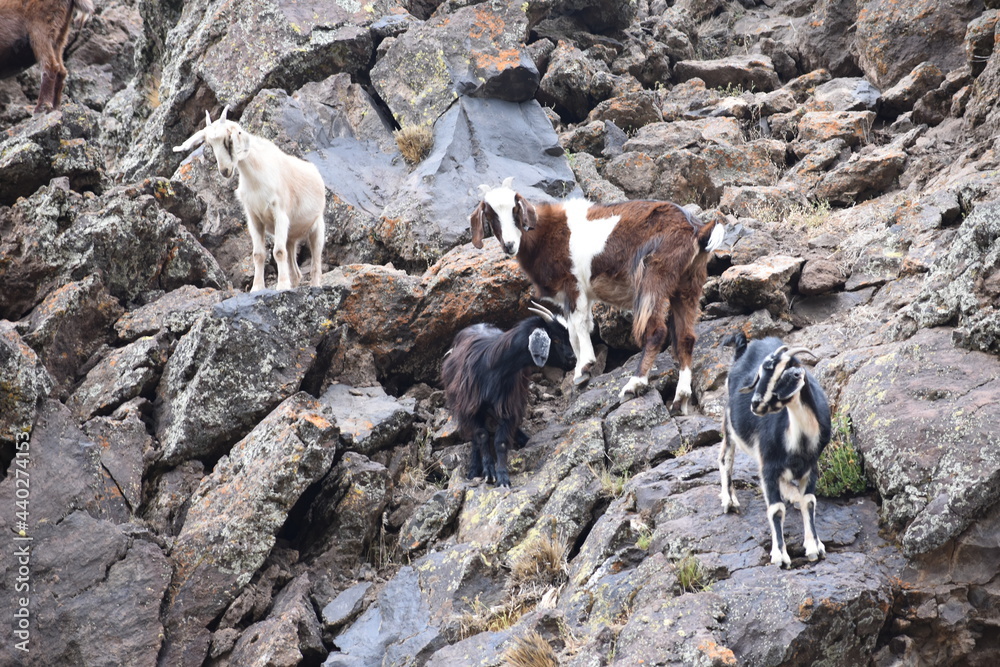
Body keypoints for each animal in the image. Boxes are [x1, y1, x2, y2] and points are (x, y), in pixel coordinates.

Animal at [173, 107, 326, 292]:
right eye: (209, 144)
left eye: (228, 140)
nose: (225, 171)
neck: (257, 179)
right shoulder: (254, 218)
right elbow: (258, 254)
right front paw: (257, 287)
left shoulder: (280, 213)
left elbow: (278, 252)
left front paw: (282, 285)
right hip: (291, 235)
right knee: (294, 265)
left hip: (317, 226)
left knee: (315, 259)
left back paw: (314, 285)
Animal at [441, 302, 576, 487]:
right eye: (555, 339)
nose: (573, 360)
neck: (493, 366)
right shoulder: (471, 407)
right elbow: (481, 436)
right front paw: (488, 472)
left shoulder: (508, 406)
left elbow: (501, 442)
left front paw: (503, 477)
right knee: (474, 439)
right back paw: (473, 469)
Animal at [470, 178, 724, 413]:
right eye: (490, 215)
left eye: (515, 210)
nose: (509, 245)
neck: (544, 234)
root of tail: (697, 230)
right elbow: (573, 331)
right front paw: (580, 369)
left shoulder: (573, 284)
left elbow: (579, 326)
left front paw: (584, 368)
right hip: (688, 284)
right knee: (685, 337)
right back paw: (681, 397)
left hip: (654, 277)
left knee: (657, 331)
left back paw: (634, 385)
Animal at [718, 332, 832, 567]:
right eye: (760, 375)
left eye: (783, 376)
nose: (755, 404)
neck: (799, 441)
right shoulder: (769, 467)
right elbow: (776, 509)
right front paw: (780, 556)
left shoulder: (811, 466)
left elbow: (809, 502)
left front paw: (815, 547)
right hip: (729, 422)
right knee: (725, 458)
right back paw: (729, 501)